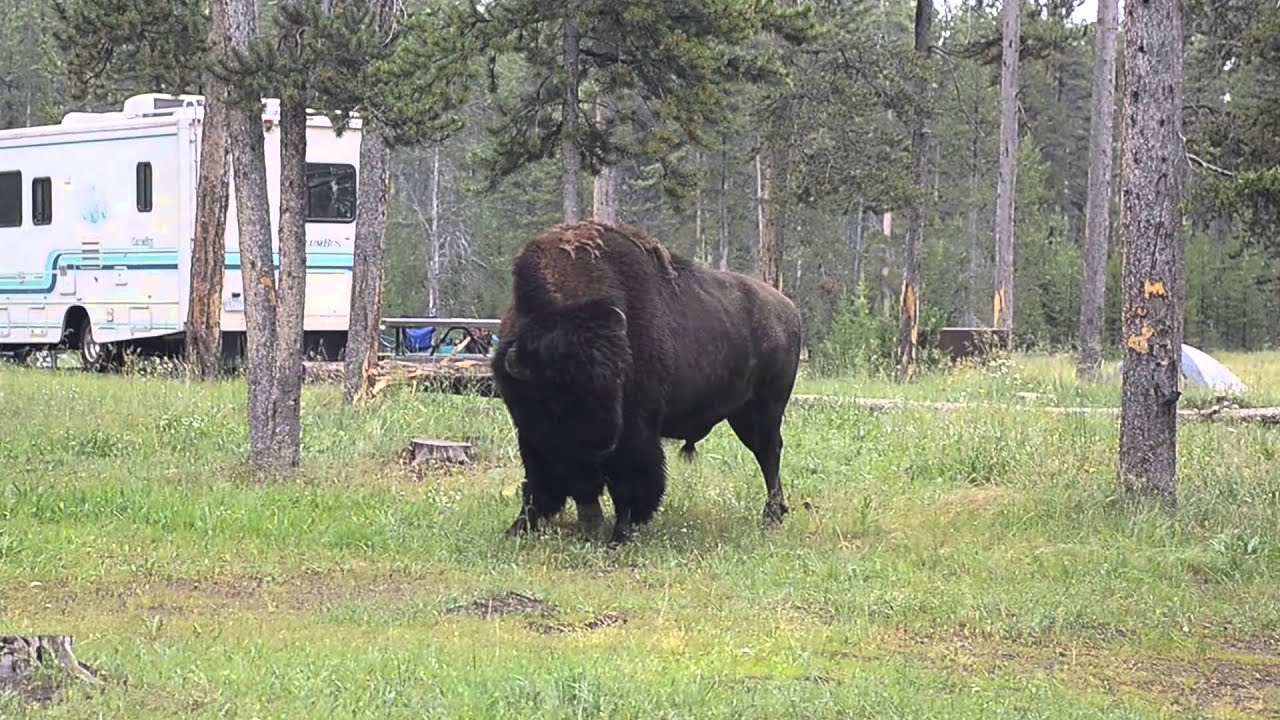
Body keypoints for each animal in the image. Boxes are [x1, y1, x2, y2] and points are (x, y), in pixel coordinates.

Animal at [491, 221, 802, 545]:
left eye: (617, 381)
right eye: (558, 392)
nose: (602, 443)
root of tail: (790, 310)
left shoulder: (634, 434)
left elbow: (628, 484)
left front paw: (620, 535)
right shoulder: (531, 434)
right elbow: (536, 482)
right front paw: (518, 528)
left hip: (764, 410)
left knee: (769, 453)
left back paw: (772, 515)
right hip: (742, 413)